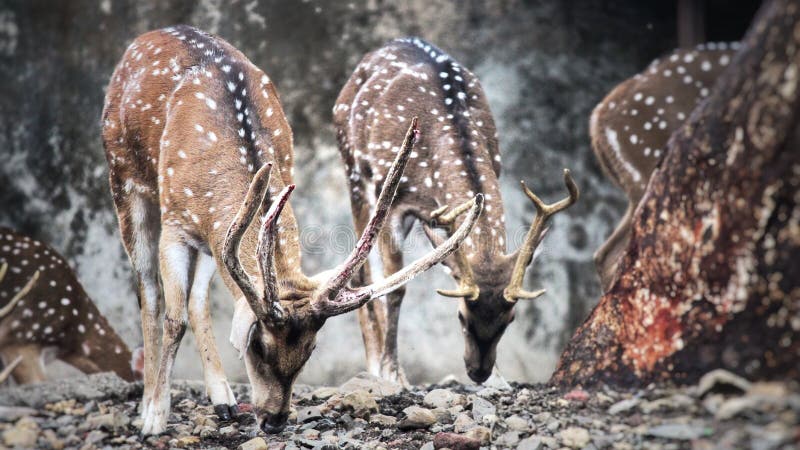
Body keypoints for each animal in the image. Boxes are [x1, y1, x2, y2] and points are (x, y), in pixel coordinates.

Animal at [101, 26, 481, 435]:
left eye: (310, 349)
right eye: (258, 346)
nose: (274, 420)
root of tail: (145, 38)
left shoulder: (215, 230)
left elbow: (195, 302)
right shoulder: (174, 220)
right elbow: (173, 319)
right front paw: (154, 418)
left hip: (208, 242)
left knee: (198, 298)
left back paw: (223, 400)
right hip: (122, 178)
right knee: (148, 292)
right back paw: (147, 404)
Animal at [333, 37, 579, 385]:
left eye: (510, 318)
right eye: (461, 316)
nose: (479, 372)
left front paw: (500, 379)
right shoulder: (394, 200)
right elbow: (396, 287)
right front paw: (394, 373)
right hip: (353, 169)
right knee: (362, 271)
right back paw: (374, 365)